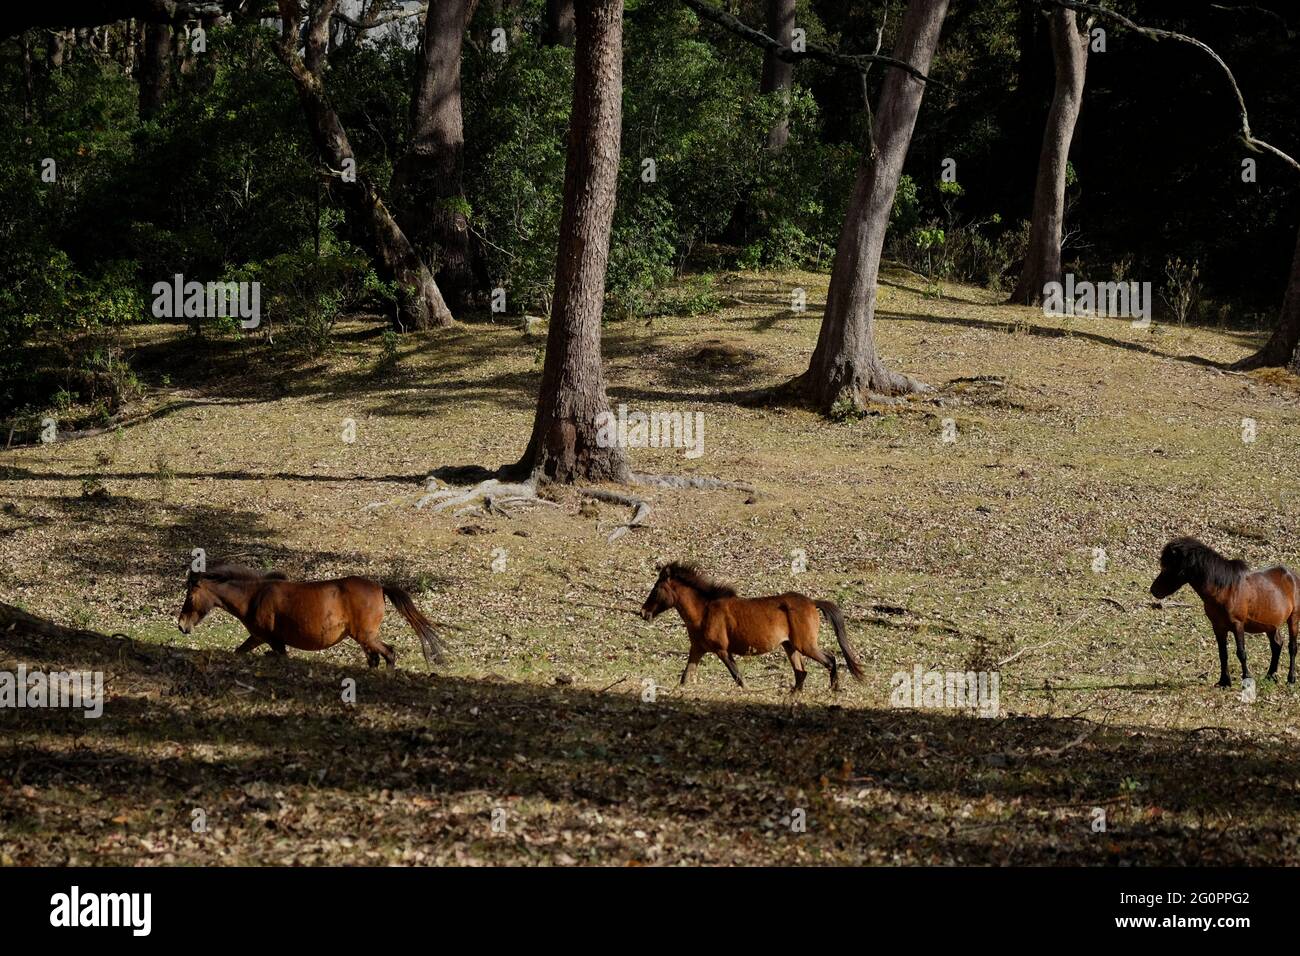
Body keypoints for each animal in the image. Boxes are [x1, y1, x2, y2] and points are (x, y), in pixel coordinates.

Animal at [176, 563, 446, 669]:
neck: (254, 597)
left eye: (190, 596)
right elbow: (239, 651)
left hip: (366, 636)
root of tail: (380, 587)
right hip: (364, 639)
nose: (181, 625)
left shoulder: (273, 641)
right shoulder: (259, 639)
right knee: (375, 659)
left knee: (389, 653)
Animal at [640, 561, 865, 692]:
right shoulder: (697, 650)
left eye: (656, 589)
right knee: (801, 672)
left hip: (805, 645)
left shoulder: (722, 650)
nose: (643, 613)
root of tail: (811, 602)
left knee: (830, 659)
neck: (704, 611)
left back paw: (834, 690)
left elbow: (738, 676)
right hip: (790, 646)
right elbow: (685, 677)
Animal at [1150, 537, 1300, 686]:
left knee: (1292, 647)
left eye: (1168, 566)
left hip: (1293, 619)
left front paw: (1246, 678)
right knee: (1277, 645)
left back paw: (1291, 679)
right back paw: (1270, 675)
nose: (1153, 590)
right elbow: (1223, 654)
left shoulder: (1238, 625)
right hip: (1271, 624)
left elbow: (1241, 652)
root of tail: (1292, 576)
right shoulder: (1218, 627)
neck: (1225, 590)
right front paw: (1224, 681)